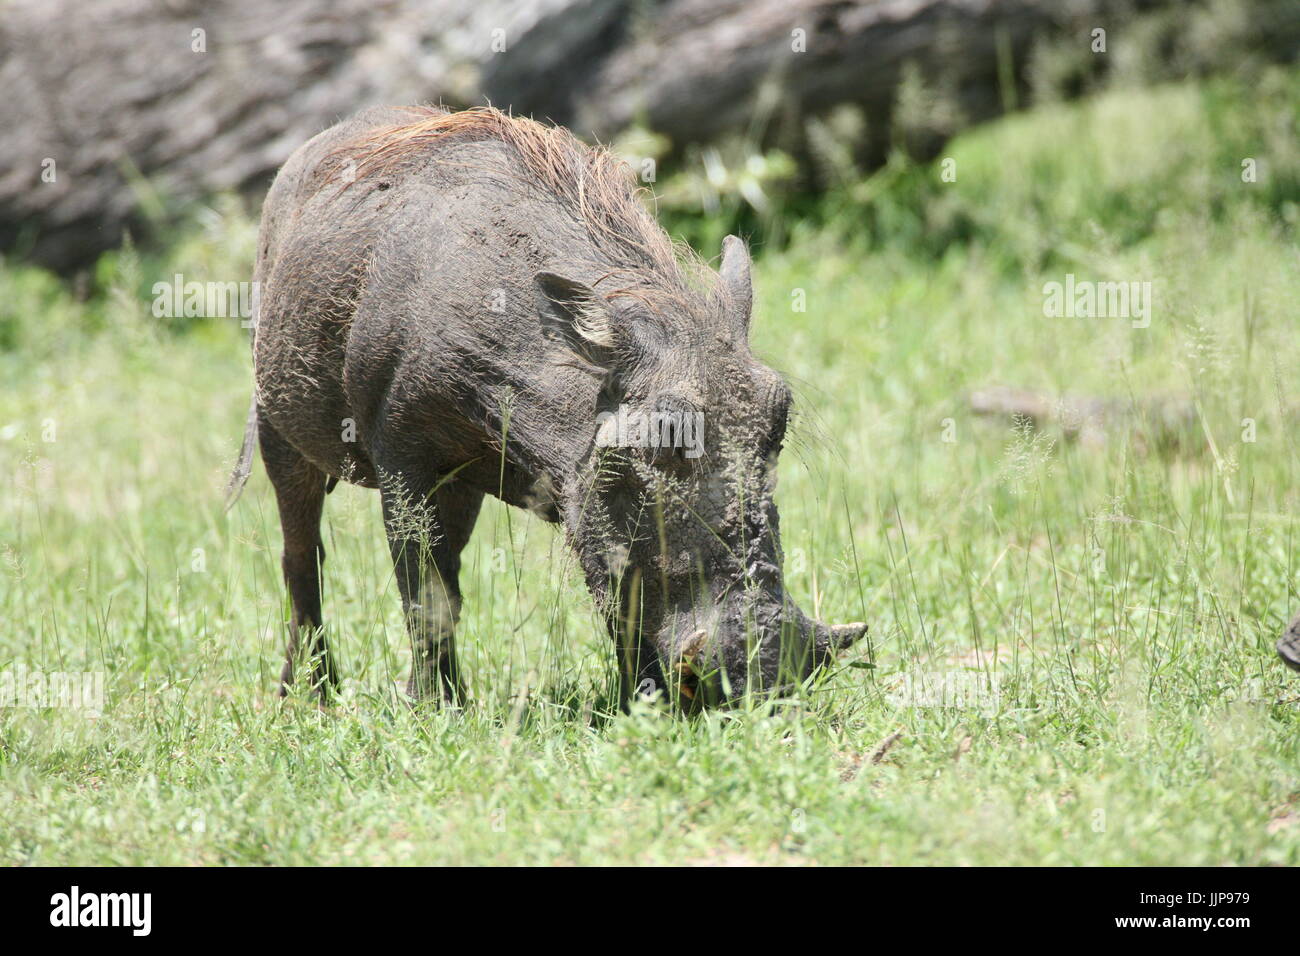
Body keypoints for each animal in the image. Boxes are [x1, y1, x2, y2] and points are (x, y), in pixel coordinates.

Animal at [227, 105, 866, 709]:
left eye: (779, 416)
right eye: (662, 438)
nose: (769, 677)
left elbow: (607, 597)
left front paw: (644, 708)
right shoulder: (401, 458)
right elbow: (424, 595)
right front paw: (434, 712)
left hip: (460, 489)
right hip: (279, 432)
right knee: (302, 559)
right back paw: (308, 696)